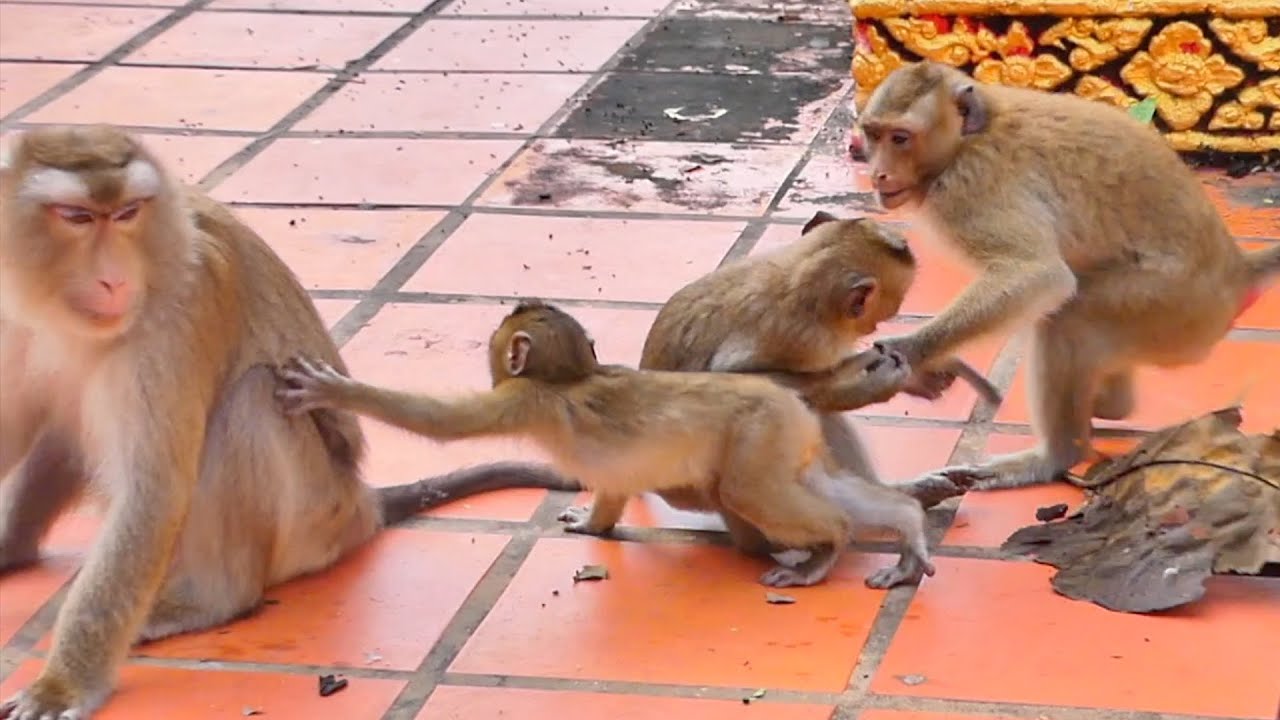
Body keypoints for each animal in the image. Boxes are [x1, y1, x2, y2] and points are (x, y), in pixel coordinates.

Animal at [0, 125, 579, 720]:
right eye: (76, 217)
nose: (114, 279)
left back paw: (215, 598)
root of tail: (360, 506)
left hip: (314, 518)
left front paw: (63, 685)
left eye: (127, 213)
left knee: (249, 400)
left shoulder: (181, 306)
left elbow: (154, 491)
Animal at [275, 299, 938, 593]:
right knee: (807, 485)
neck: (571, 377)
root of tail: (792, 401)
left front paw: (336, 390)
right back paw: (905, 525)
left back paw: (828, 548)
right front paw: (594, 525)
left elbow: (445, 423)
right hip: (788, 439)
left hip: (760, 434)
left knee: (745, 491)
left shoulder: (526, 399)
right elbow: (615, 485)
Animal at [856, 61, 1280, 491]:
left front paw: (910, 351)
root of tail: (1237, 271)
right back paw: (1113, 403)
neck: (969, 138)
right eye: (873, 135)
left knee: (1069, 318)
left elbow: (1039, 275)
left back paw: (1055, 458)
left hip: (1174, 308)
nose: (879, 175)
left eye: (901, 138)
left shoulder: (970, 189)